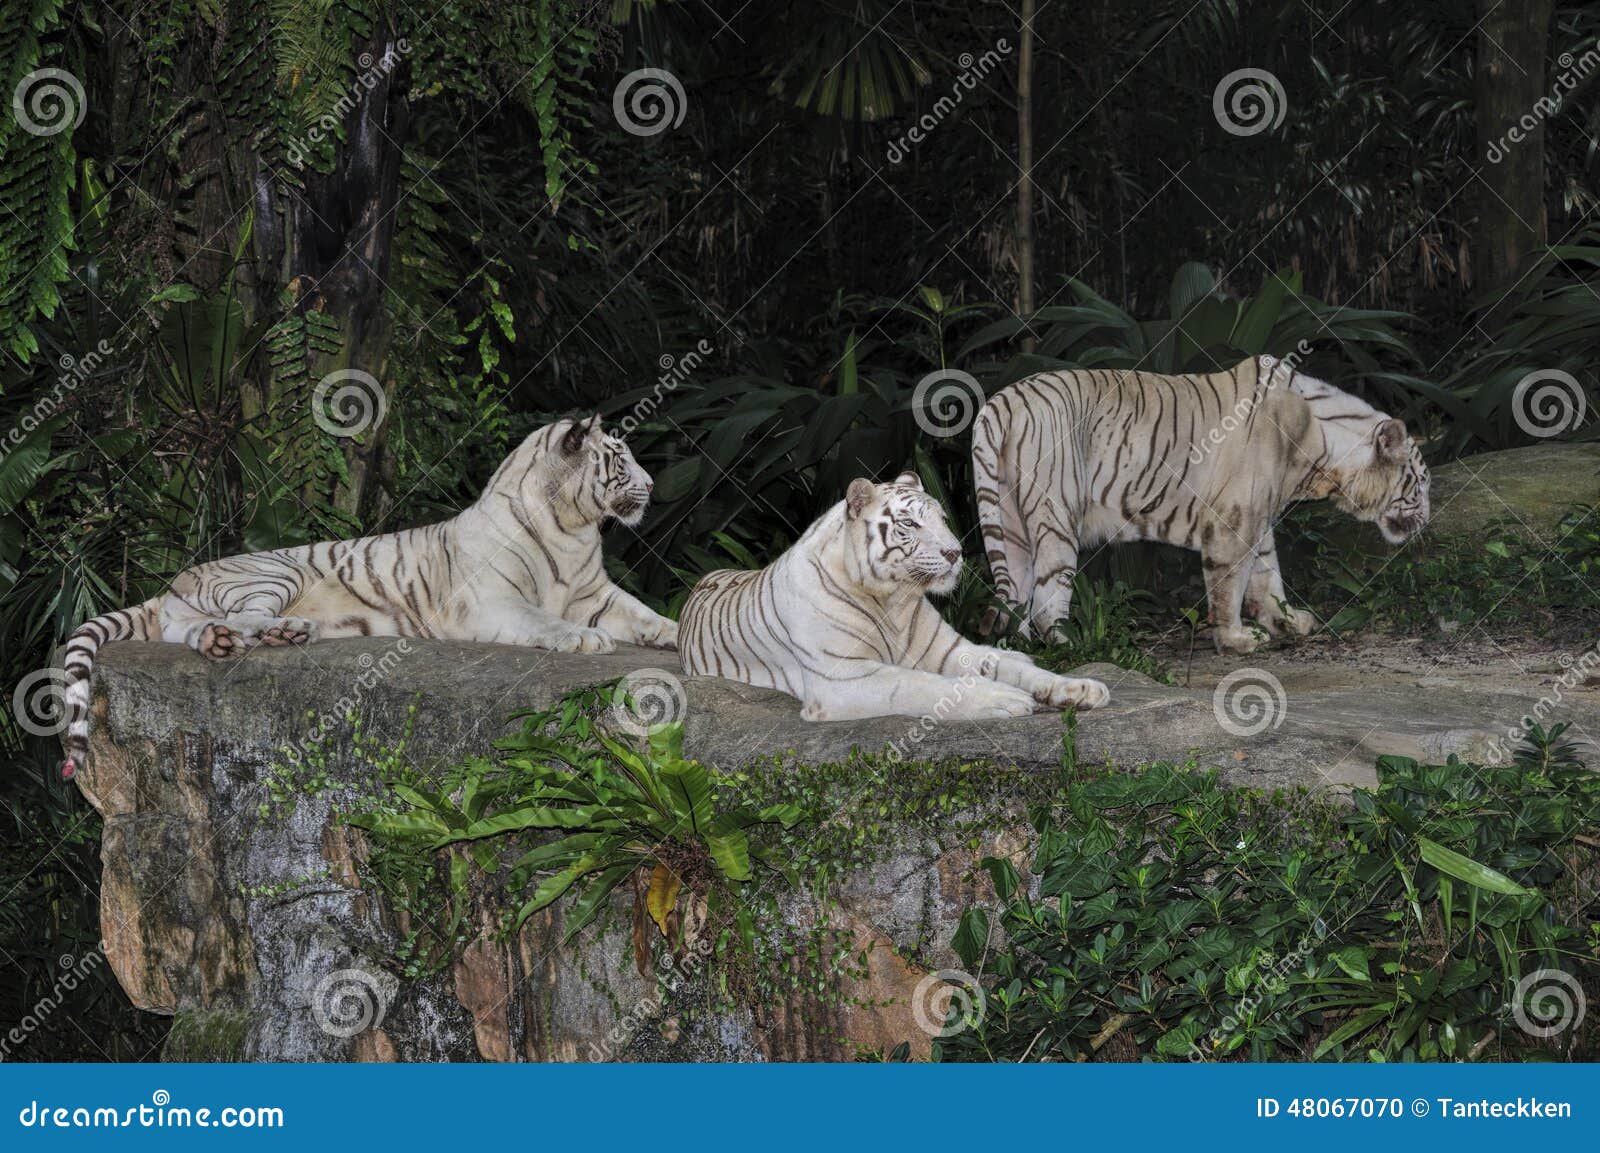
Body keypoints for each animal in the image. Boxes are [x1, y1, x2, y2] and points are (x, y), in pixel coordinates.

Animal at [56, 415, 676, 778]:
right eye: (620, 459)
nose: (652, 486)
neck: (573, 527)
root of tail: (172, 583)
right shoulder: (491, 602)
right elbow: (544, 622)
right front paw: (584, 641)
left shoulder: (597, 592)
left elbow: (647, 614)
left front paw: (676, 634)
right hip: (272, 575)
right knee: (248, 615)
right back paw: (284, 632)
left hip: (197, 613)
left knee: (194, 631)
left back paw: (224, 642)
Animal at [679, 472, 1110, 721]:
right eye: (910, 524)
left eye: (942, 520)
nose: (955, 552)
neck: (893, 600)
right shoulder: (841, 678)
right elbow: (919, 686)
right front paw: (1005, 698)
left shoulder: (950, 652)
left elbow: (1012, 669)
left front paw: (1080, 688)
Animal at [972, 355, 1430, 654]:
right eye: (1420, 484)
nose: (1427, 519)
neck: (1321, 453)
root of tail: (1002, 401)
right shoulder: (1235, 519)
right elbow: (1230, 582)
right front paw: (1237, 638)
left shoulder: (1258, 517)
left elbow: (1268, 574)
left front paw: (1286, 620)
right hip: (1056, 514)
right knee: (1046, 598)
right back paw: (1075, 645)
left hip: (1009, 522)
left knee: (1014, 595)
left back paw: (1016, 651)